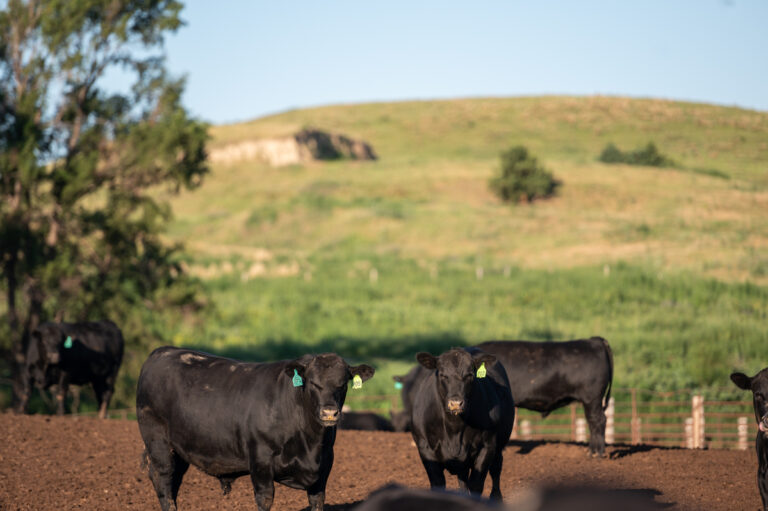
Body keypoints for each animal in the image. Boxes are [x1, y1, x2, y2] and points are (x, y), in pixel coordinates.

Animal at [136, 347, 375, 511]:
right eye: (313, 383)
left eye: (342, 384)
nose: (329, 413)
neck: (310, 442)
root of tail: (161, 352)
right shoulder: (260, 461)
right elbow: (265, 499)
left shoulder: (323, 469)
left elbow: (317, 501)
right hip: (157, 441)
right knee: (163, 479)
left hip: (180, 449)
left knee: (173, 482)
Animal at [408, 348, 514, 500]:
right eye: (442, 374)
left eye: (470, 375)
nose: (455, 403)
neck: (454, 430)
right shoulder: (425, 448)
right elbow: (438, 483)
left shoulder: (487, 446)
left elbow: (476, 485)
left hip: (499, 445)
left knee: (496, 470)